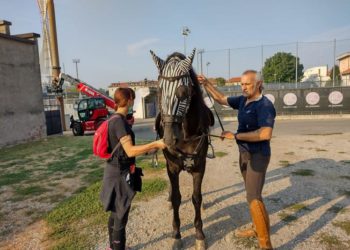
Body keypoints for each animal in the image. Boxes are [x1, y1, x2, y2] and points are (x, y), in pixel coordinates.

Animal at [150, 49, 213, 250]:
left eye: (184, 92)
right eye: (159, 90)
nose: (170, 139)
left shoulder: (200, 165)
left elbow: (196, 197)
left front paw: (199, 234)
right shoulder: (172, 167)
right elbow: (178, 198)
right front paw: (177, 235)